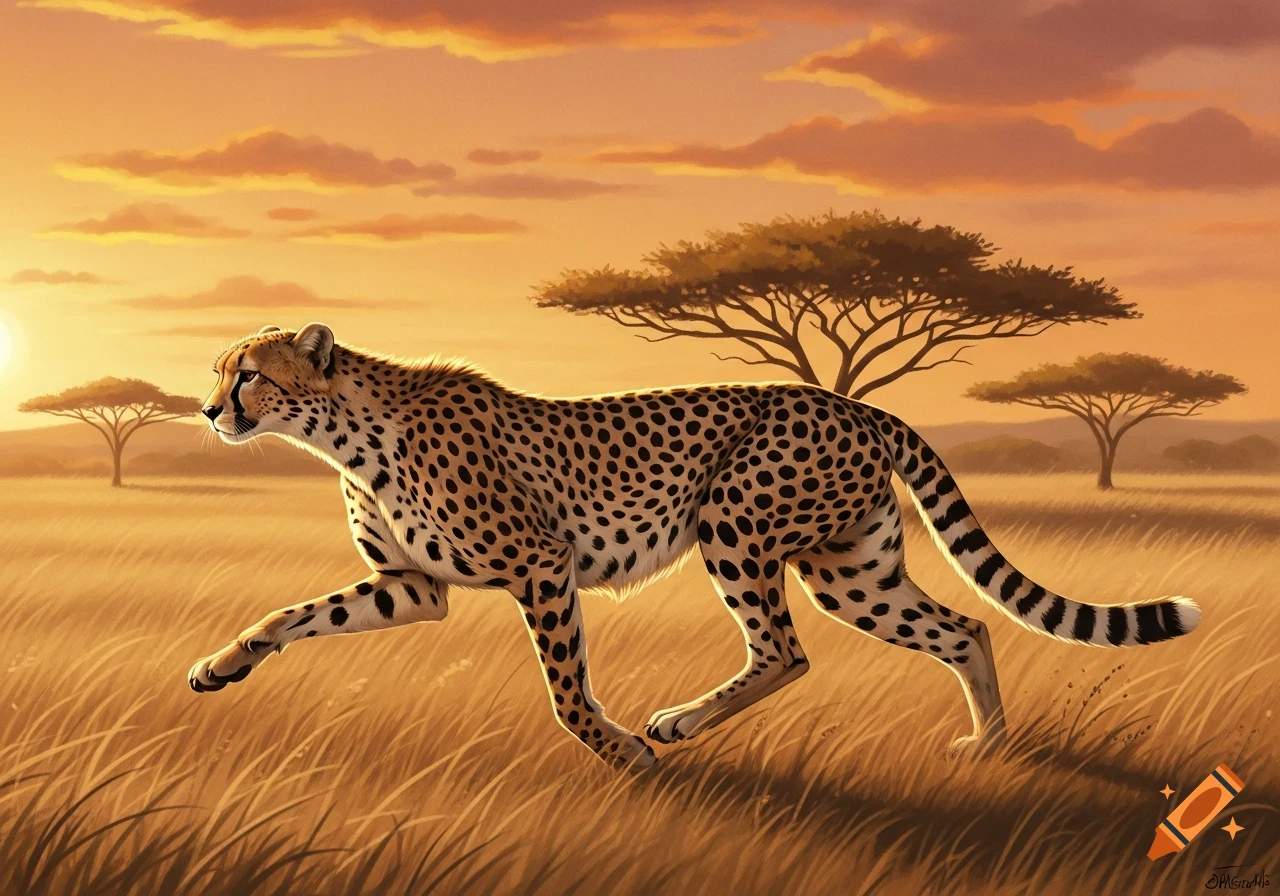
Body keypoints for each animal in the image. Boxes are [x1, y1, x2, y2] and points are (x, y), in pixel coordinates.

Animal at [189, 322, 1201, 771]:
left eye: (250, 375)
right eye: (221, 372)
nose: (206, 411)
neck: (345, 433)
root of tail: (845, 399)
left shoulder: (541, 565)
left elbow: (564, 689)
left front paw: (616, 750)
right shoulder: (412, 586)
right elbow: (292, 613)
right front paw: (219, 667)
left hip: (736, 521)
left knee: (785, 649)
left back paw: (675, 725)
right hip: (853, 570)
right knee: (963, 628)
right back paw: (989, 746)